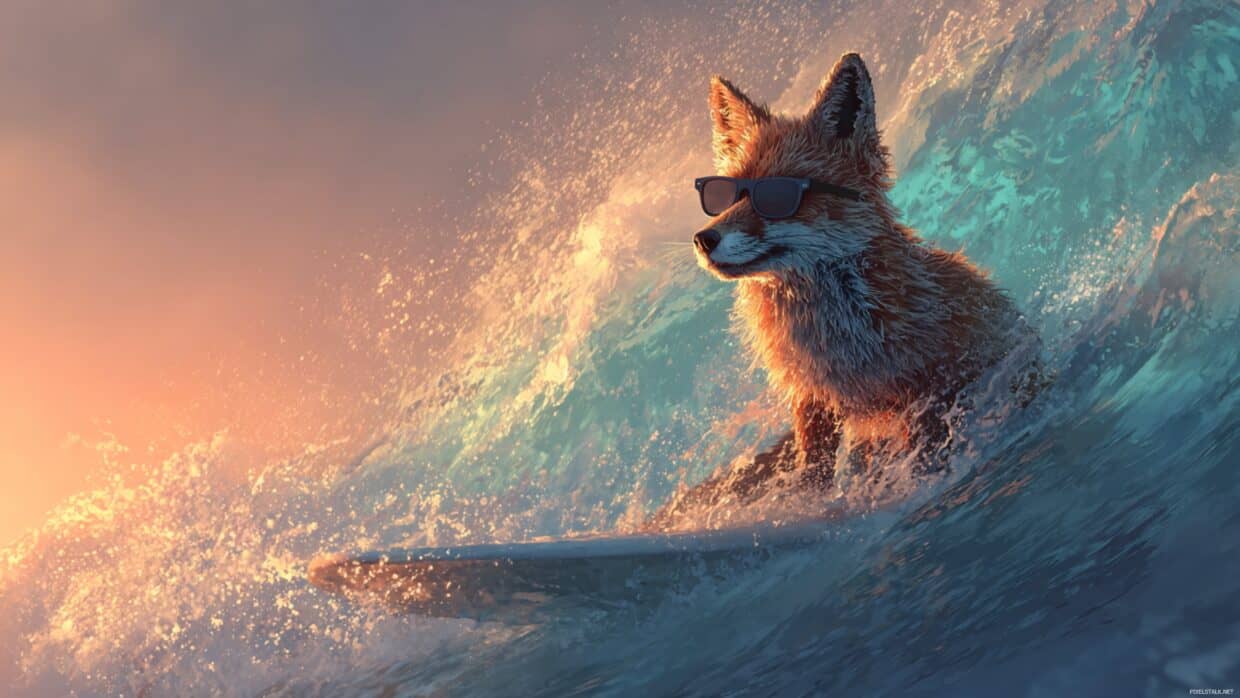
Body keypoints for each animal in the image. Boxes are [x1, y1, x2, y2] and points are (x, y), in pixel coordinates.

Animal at [647, 53, 1034, 530]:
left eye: (777, 197)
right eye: (725, 194)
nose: (704, 239)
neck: (846, 336)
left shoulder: (929, 391)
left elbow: (923, 456)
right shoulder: (812, 401)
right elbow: (813, 472)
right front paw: (805, 506)